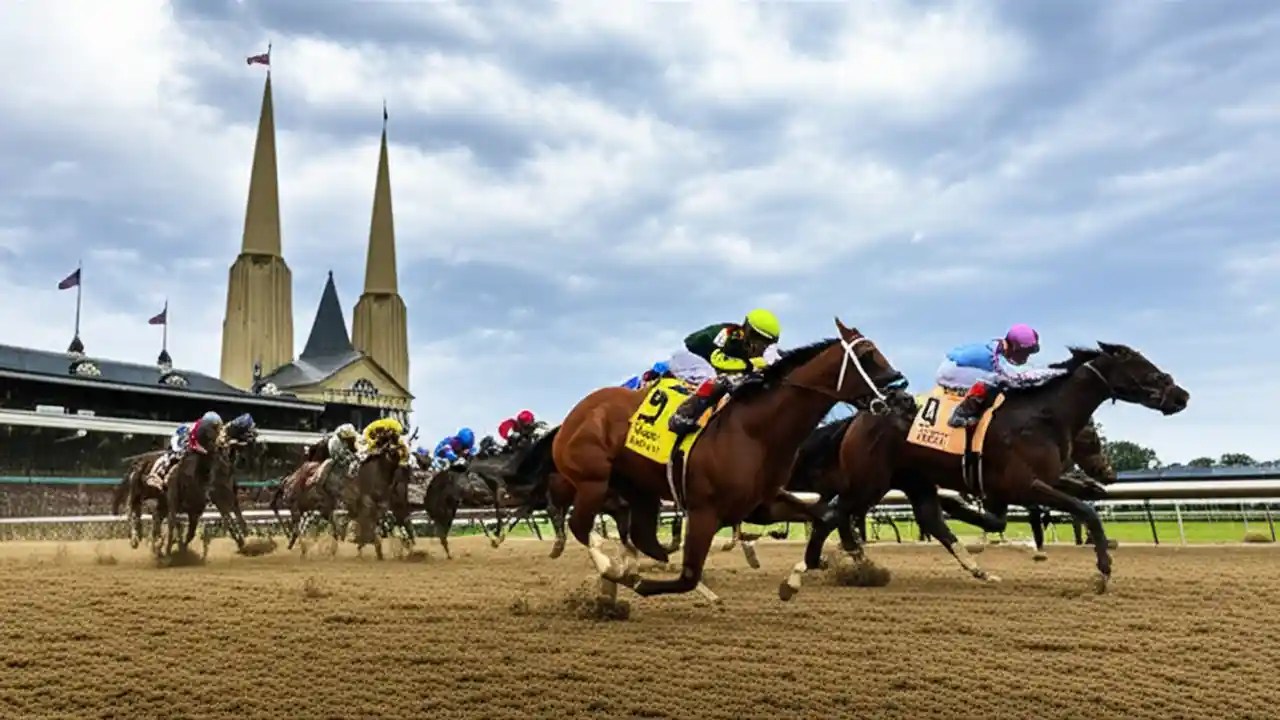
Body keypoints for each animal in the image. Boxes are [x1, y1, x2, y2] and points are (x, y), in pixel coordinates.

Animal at [552, 318, 906, 604]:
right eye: (867, 356)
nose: (901, 396)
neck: (756, 430)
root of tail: (578, 410)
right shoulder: (704, 512)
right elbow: (687, 576)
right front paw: (636, 582)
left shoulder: (762, 505)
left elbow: (825, 516)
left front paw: (795, 578)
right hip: (592, 481)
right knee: (581, 526)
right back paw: (611, 567)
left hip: (639, 491)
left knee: (639, 537)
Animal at [794, 342, 1188, 597]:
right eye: (1145, 366)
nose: (1181, 395)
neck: (1044, 415)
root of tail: (859, 417)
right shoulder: (1025, 484)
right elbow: (1085, 512)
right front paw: (1103, 572)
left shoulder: (1024, 484)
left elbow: (1057, 505)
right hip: (869, 482)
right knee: (832, 516)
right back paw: (811, 568)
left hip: (911, 479)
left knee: (928, 521)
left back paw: (976, 570)